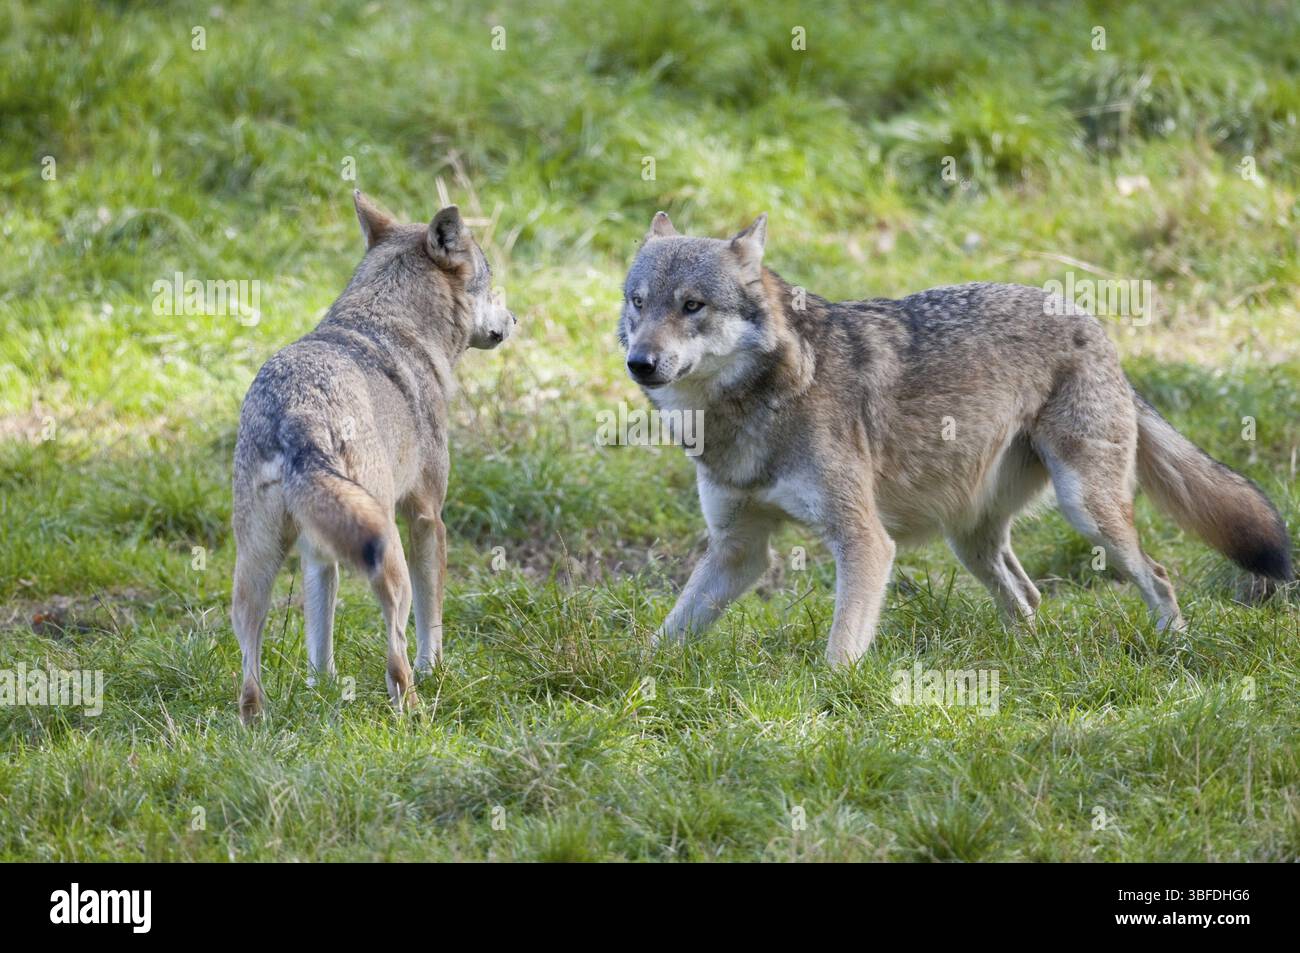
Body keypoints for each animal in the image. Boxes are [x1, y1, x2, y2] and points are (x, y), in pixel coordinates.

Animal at [231, 191, 515, 721]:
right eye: (491, 285)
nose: (514, 321)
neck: (393, 323)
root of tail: (298, 416)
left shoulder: (318, 553)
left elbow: (318, 639)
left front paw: (322, 687)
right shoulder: (427, 518)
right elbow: (431, 618)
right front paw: (436, 669)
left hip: (255, 568)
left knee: (248, 671)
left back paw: (254, 724)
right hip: (386, 551)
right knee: (396, 654)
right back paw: (415, 711)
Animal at [619, 211, 1293, 665]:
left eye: (693, 306)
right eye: (639, 302)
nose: (640, 363)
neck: (752, 409)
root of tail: (1093, 323)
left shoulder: (865, 541)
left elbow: (840, 653)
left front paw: (825, 711)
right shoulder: (738, 550)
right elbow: (665, 634)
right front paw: (630, 686)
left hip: (1087, 512)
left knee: (1158, 575)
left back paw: (1175, 654)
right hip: (969, 540)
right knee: (1030, 597)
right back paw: (1030, 660)